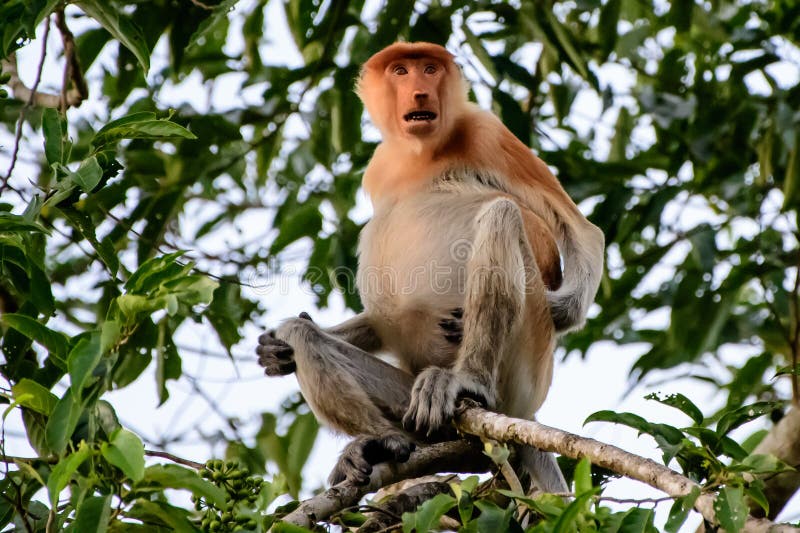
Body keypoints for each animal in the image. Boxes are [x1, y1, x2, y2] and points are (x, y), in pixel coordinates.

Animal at [257, 42, 604, 493]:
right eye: (401, 71)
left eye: (430, 68)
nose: (420, 93)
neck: (419, 154)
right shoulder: (379, 165)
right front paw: (273, 352)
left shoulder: (486, 130)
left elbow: (583, 233)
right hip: (410, 400)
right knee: (302, 338)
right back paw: (379, 443)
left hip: (526, 371)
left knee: (502, 215)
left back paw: (465, 382)